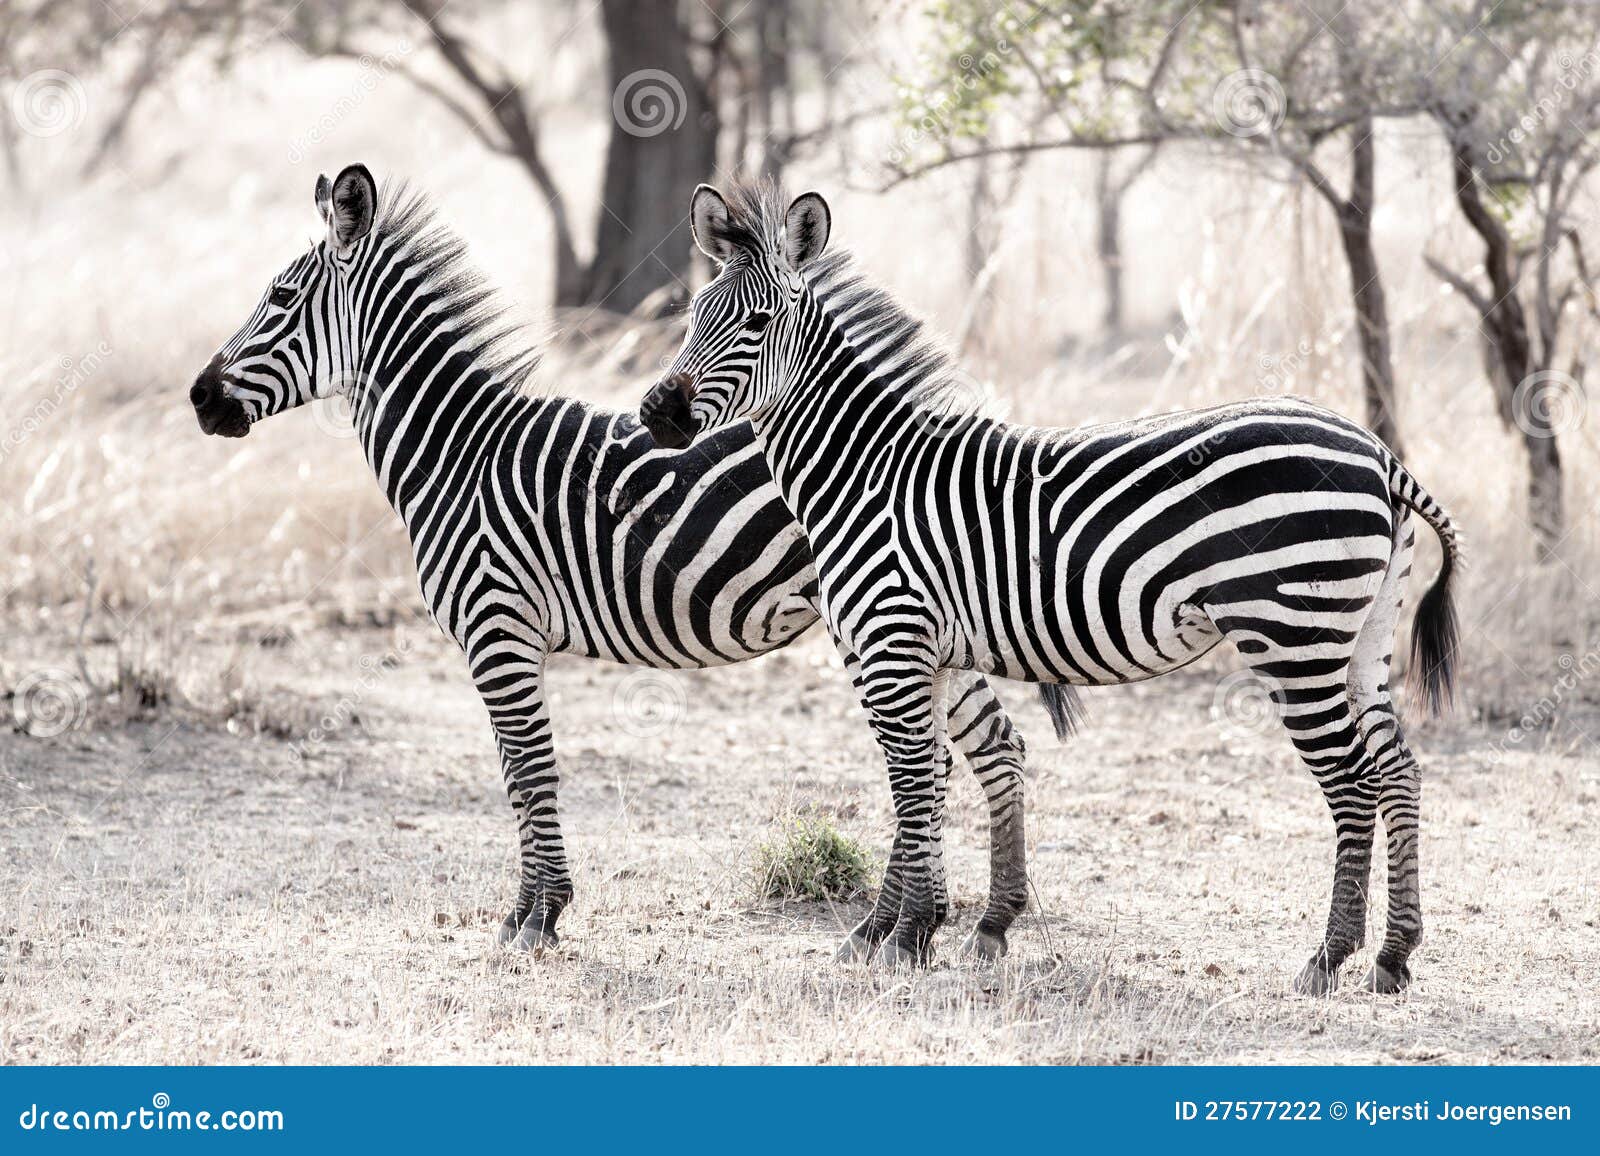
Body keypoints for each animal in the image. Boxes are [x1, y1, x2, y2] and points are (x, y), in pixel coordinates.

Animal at [189, 164, 1069, 959]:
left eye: (279, 299)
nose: (199, 399)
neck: (459, 453)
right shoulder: (505, 639)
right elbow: (519, 770)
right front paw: (536, 910)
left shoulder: (499, 629)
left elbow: (528, 770)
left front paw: (536, 917)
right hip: (922, 620)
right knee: (986, 746)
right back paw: (972, 923)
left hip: (882, 615)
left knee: (937, 756)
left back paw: (911, 927)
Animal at [638, 180, 1461, 993]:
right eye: (692, 312)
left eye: (756, 322)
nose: (658, 413)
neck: (862, 471)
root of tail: (1379, 453)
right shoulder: (930, 653)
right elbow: (931, 780)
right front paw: (914, 932)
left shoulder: (890, 643)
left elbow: (911, 782)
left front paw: (900, 940)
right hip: (1361, 637)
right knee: (1398, 768)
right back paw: (1394, 956)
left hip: (1295, 636)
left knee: (1353, 782)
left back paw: (1328, 958)